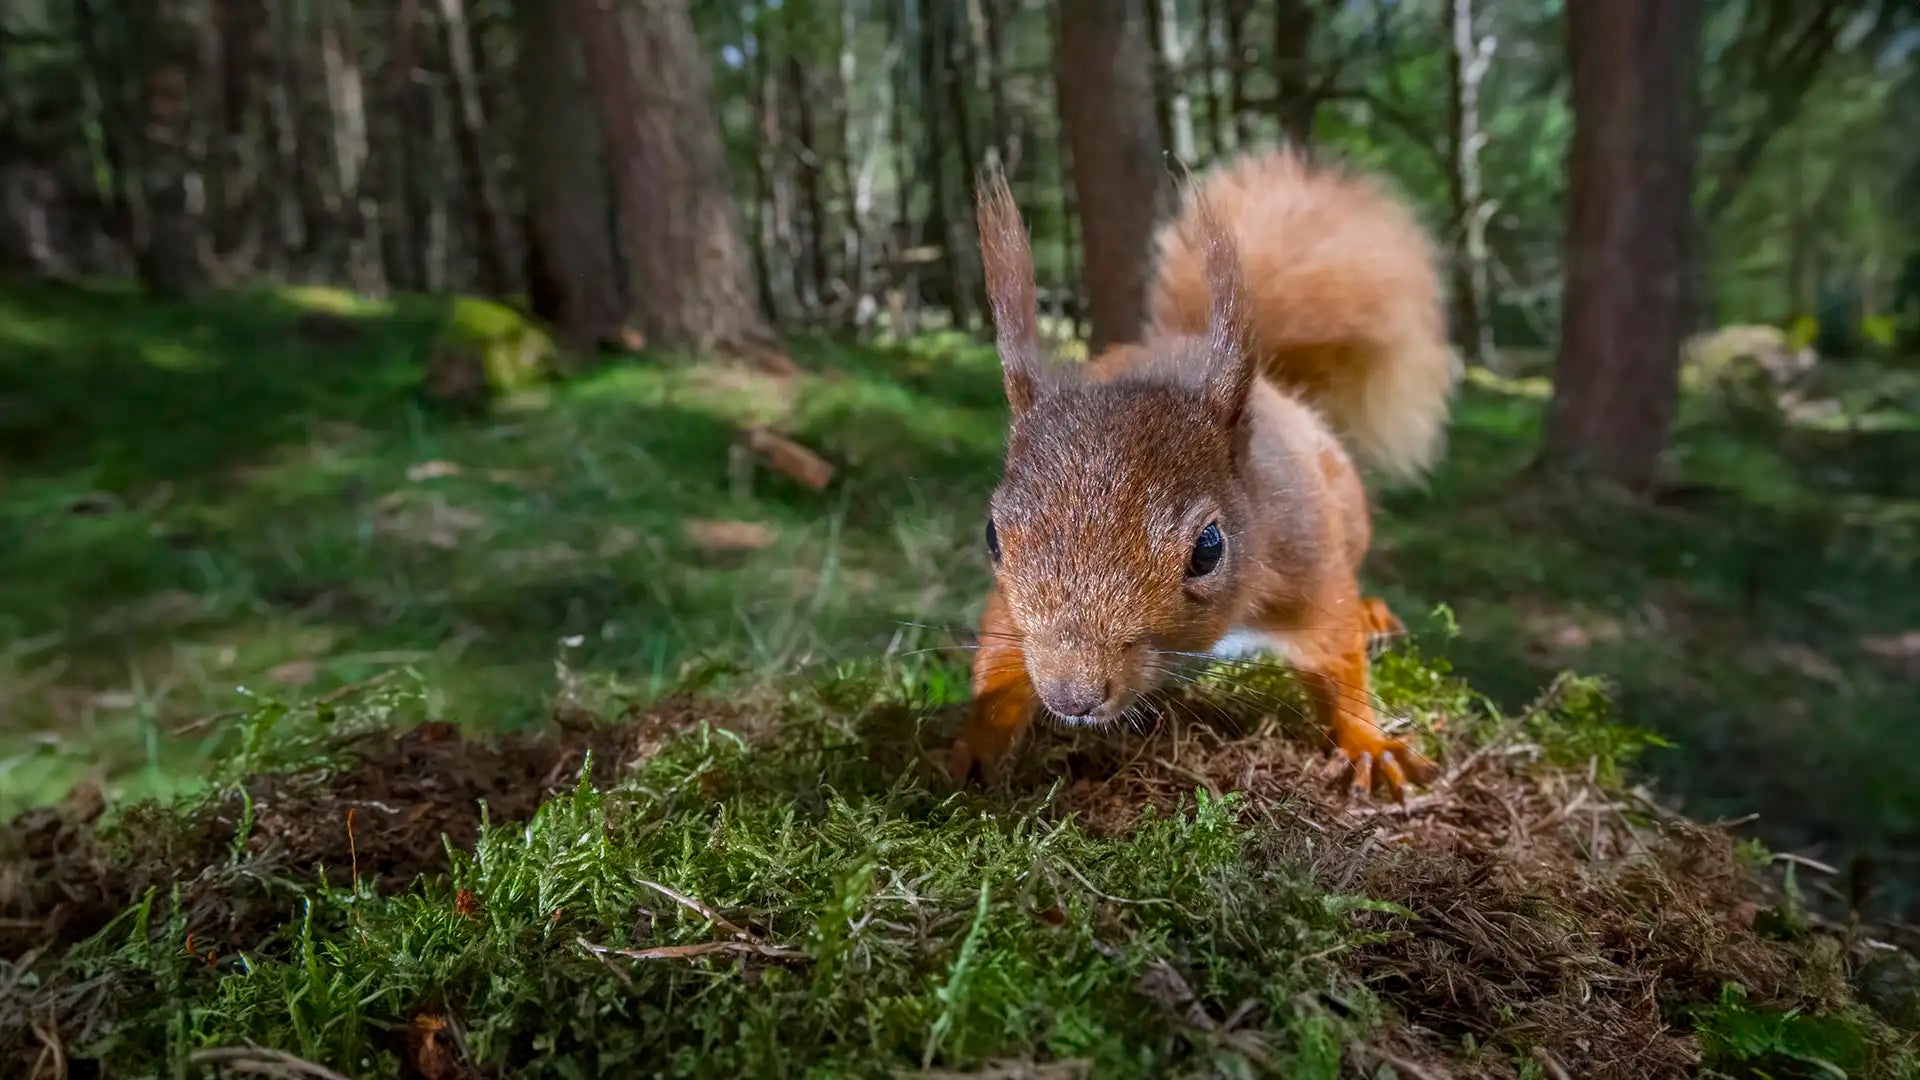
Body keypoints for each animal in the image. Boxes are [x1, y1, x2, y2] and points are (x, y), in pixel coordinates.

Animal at [950, 148, 1459, 798]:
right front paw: (972, 744)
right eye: (993, 536)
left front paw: (1370, 744)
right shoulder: (1009, 609)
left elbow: (1338, 655)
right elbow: (998, 659)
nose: (1073, 695)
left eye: (1209, 548)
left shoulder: (1306, 562)